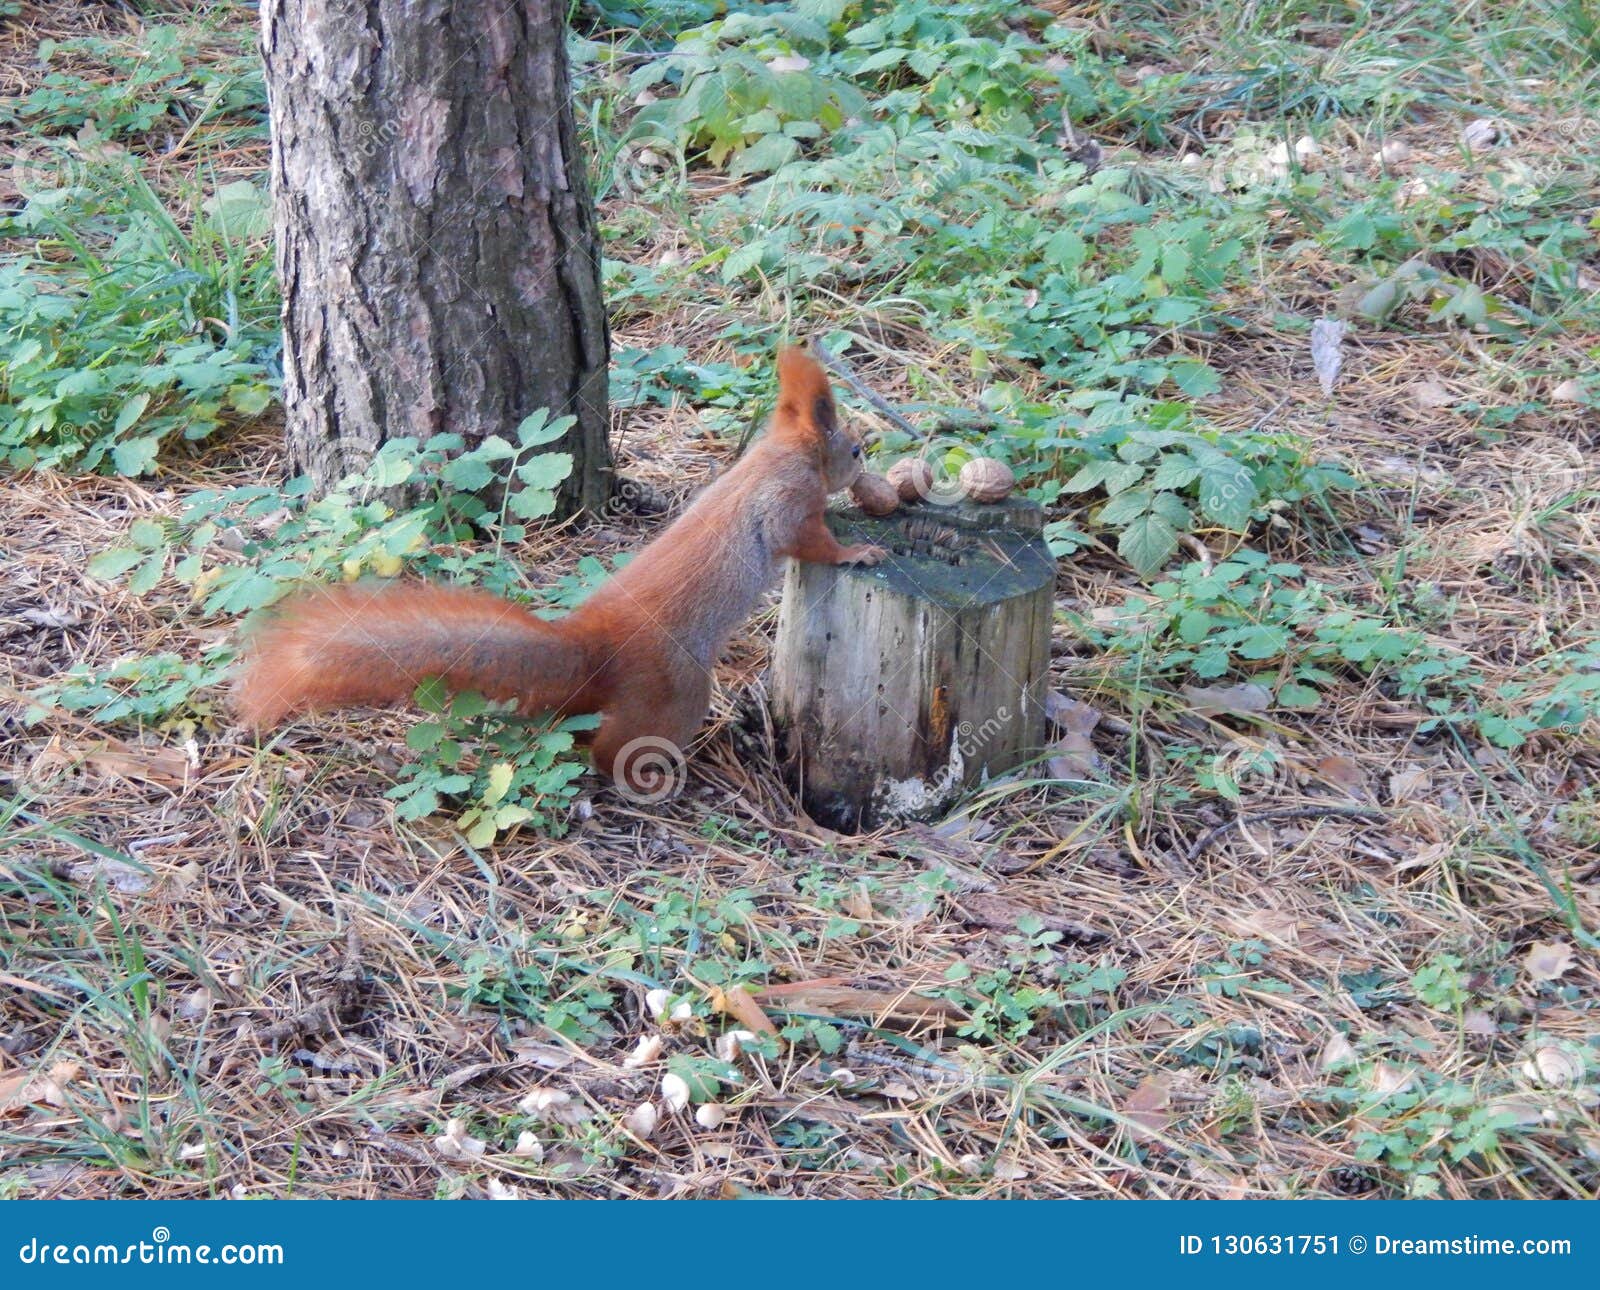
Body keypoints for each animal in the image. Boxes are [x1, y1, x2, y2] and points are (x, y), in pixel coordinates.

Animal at [234, 346, 887, 796]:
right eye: (854, 449)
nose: (864, 470)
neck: (781, 455)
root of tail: (594, 646)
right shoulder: (787, 504)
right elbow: (807, 542)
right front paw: (858, 553)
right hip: (676, 691)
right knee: (613, 746)